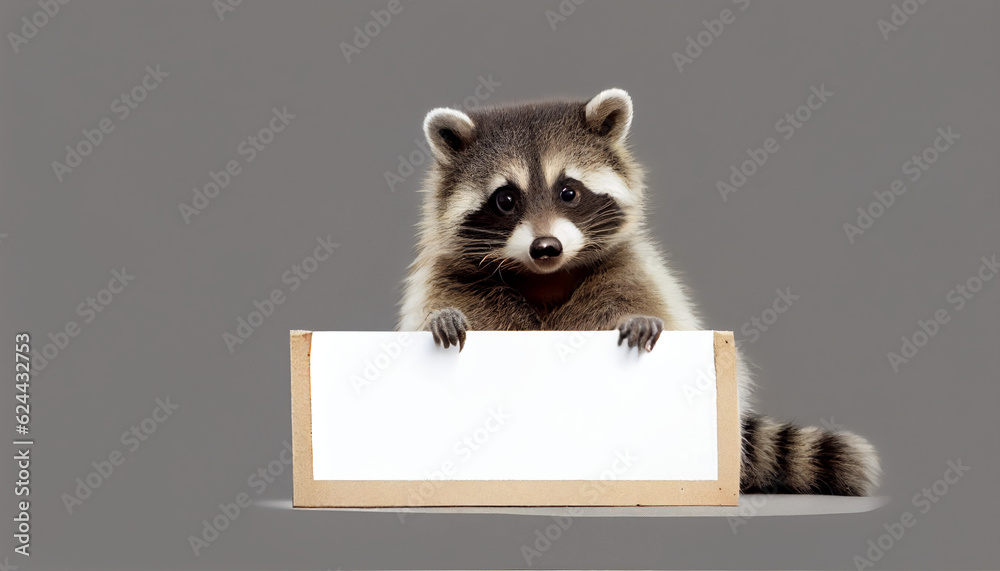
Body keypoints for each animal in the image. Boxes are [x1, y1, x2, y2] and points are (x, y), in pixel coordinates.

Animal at [398, 88, 881, 496]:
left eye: (568, 191)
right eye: (505, 200)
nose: (546, 247)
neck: (545, 275)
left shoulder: (634, 271)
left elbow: (649, 305)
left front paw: (639, 319)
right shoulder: (450, 278)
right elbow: (442, 308)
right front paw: (445, 316)